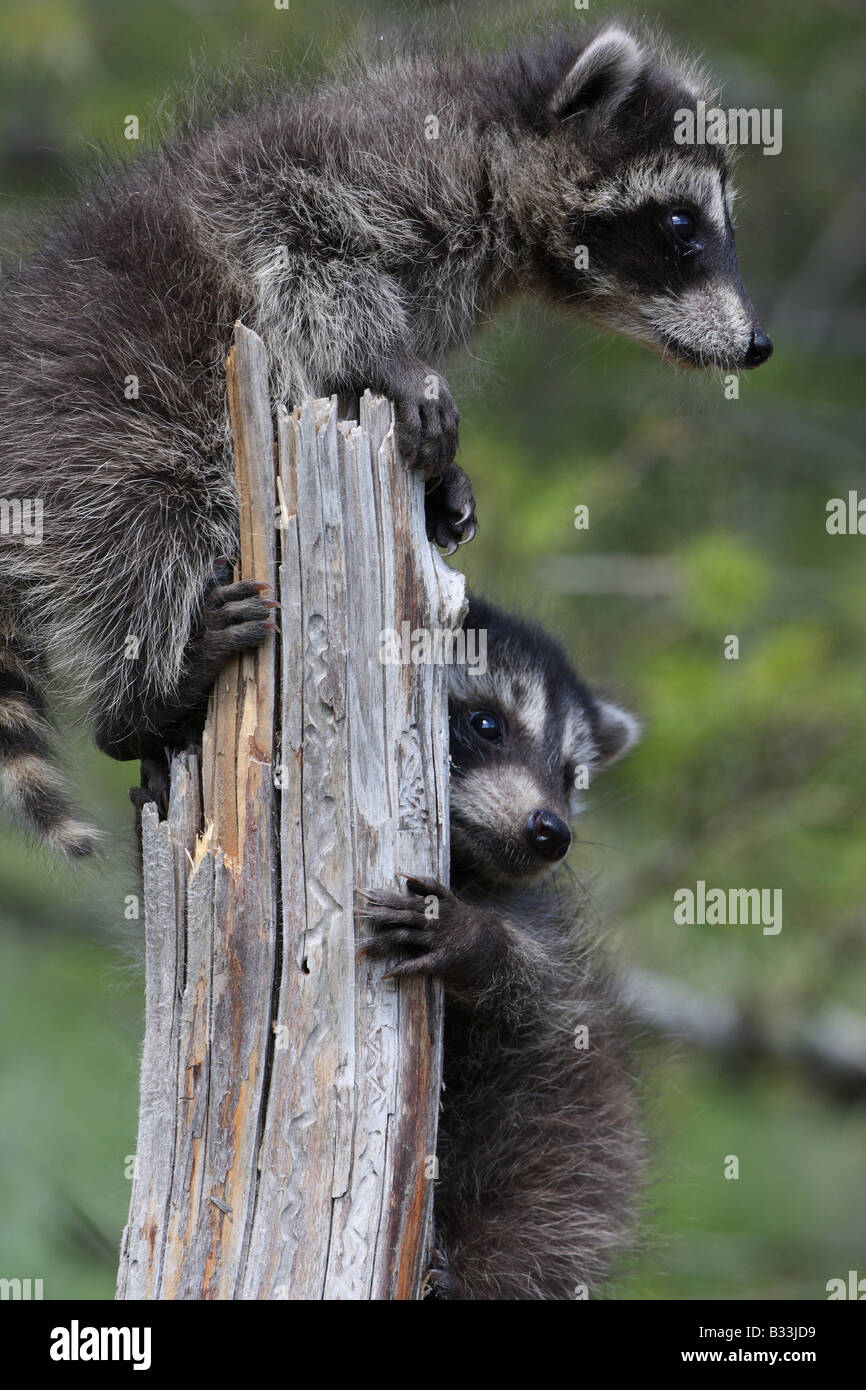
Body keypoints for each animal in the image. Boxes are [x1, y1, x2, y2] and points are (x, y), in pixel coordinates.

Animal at [0, 20, 770, 853]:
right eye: (682, 225)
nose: (758, 345)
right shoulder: (347, 165)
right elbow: (300, 248)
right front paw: (403, 370)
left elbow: (335, 371)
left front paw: (439, 472)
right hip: (102, 433)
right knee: (144, 536)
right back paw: (144, 694)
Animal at [359, 596, 642, 1300]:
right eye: (487, 724)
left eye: (570, 776)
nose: (552, 833)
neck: (466, 867)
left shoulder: (543, 939)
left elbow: (533, 990)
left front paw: (475, 942)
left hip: (574, 1136)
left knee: (553, 1209)